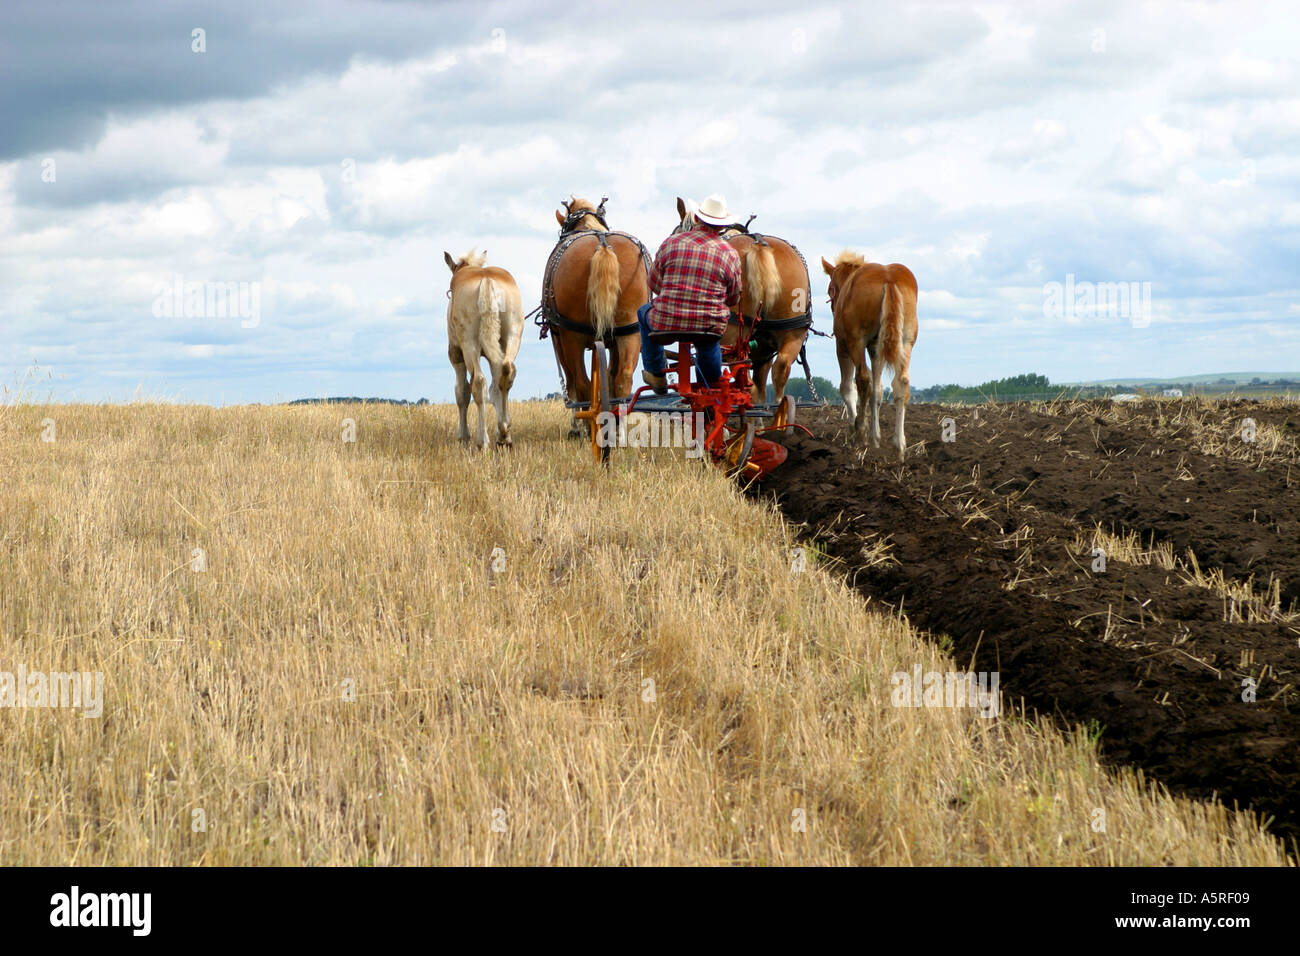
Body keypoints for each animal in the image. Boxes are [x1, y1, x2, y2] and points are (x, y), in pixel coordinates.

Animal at [443, 249, 524, 448]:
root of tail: (486, 279)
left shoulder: (456, 356)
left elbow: (462, 392)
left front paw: (463, 436)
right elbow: (495, 391)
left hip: (469, 345)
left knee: (478, 383)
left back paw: (482, 441)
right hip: (512, 337)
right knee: (505, 373)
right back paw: (504, 434)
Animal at [544, 196, 651, 438]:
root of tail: (602, 244)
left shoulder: (559, 336)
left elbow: (573, 382)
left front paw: (575, 427)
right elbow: (609, 376)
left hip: (571, 335)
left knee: (581, 382)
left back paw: (585, 427)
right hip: (630, 330)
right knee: (622, 378)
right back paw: (618, 430)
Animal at [673, 197, 813, 412]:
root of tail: (759, 246)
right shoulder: (762, 352)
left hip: (732, 340)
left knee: (743, 382)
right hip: (792, 333)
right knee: (778, 371)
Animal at [820, 252, 919, 462]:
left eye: (830, 289)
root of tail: (889, 278)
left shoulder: (843, 346)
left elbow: (849, 387)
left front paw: (856, 430)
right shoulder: (875, 348)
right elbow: (877, 390)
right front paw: (875, 438)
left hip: (856, 342)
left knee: (862, 379)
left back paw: (860, 432)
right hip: (905, 341)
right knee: (901, 384)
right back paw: (898, 445)